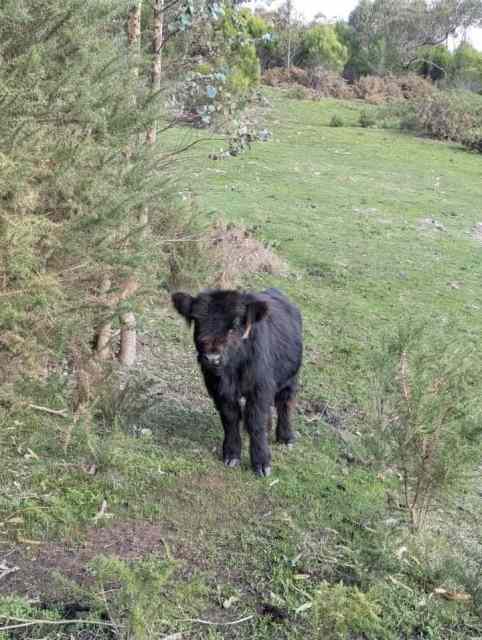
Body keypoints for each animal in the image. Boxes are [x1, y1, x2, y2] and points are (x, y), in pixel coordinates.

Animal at [171, 288, 303, 477]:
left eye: (234, 325)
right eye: (197, 321)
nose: (212, 358)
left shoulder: (260, 387)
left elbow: (256, 420)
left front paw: (262, 463)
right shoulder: (218, 389)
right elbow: (230, 418)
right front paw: (231, 455)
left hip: (290, 378)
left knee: (284, 403)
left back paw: (285, 437)